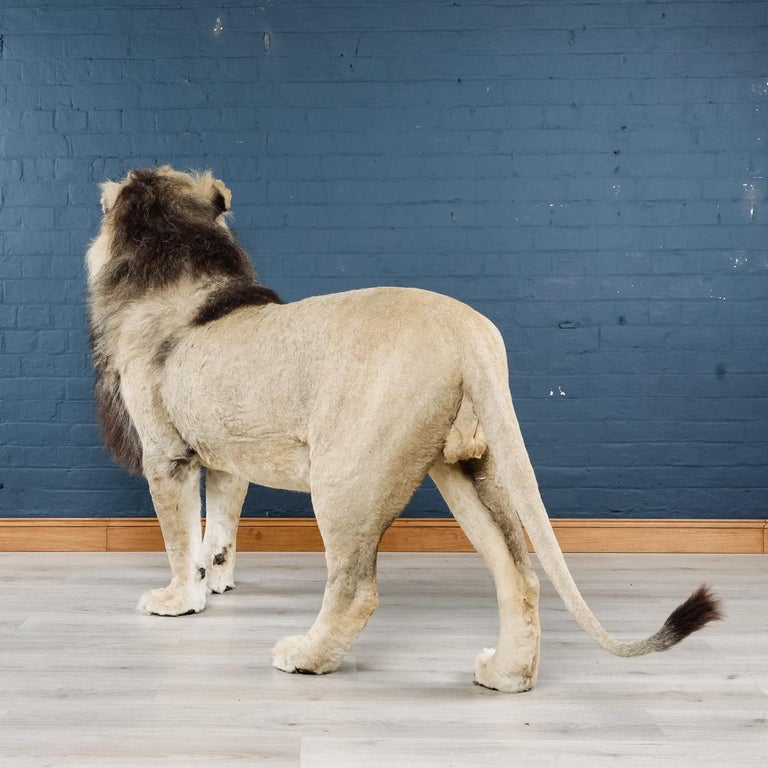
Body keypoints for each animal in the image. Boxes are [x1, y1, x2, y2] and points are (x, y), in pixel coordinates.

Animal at [86, 167, 720, 692]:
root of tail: (468, 333)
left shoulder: (165, 455)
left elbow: (177, 536)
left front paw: (177, 599)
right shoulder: (224, 457)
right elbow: (219, 527)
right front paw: (214, 581)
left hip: (344, 477)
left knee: (356, 590)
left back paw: (306, 657)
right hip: (467, 469)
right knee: (519, 574)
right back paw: (505, 675)